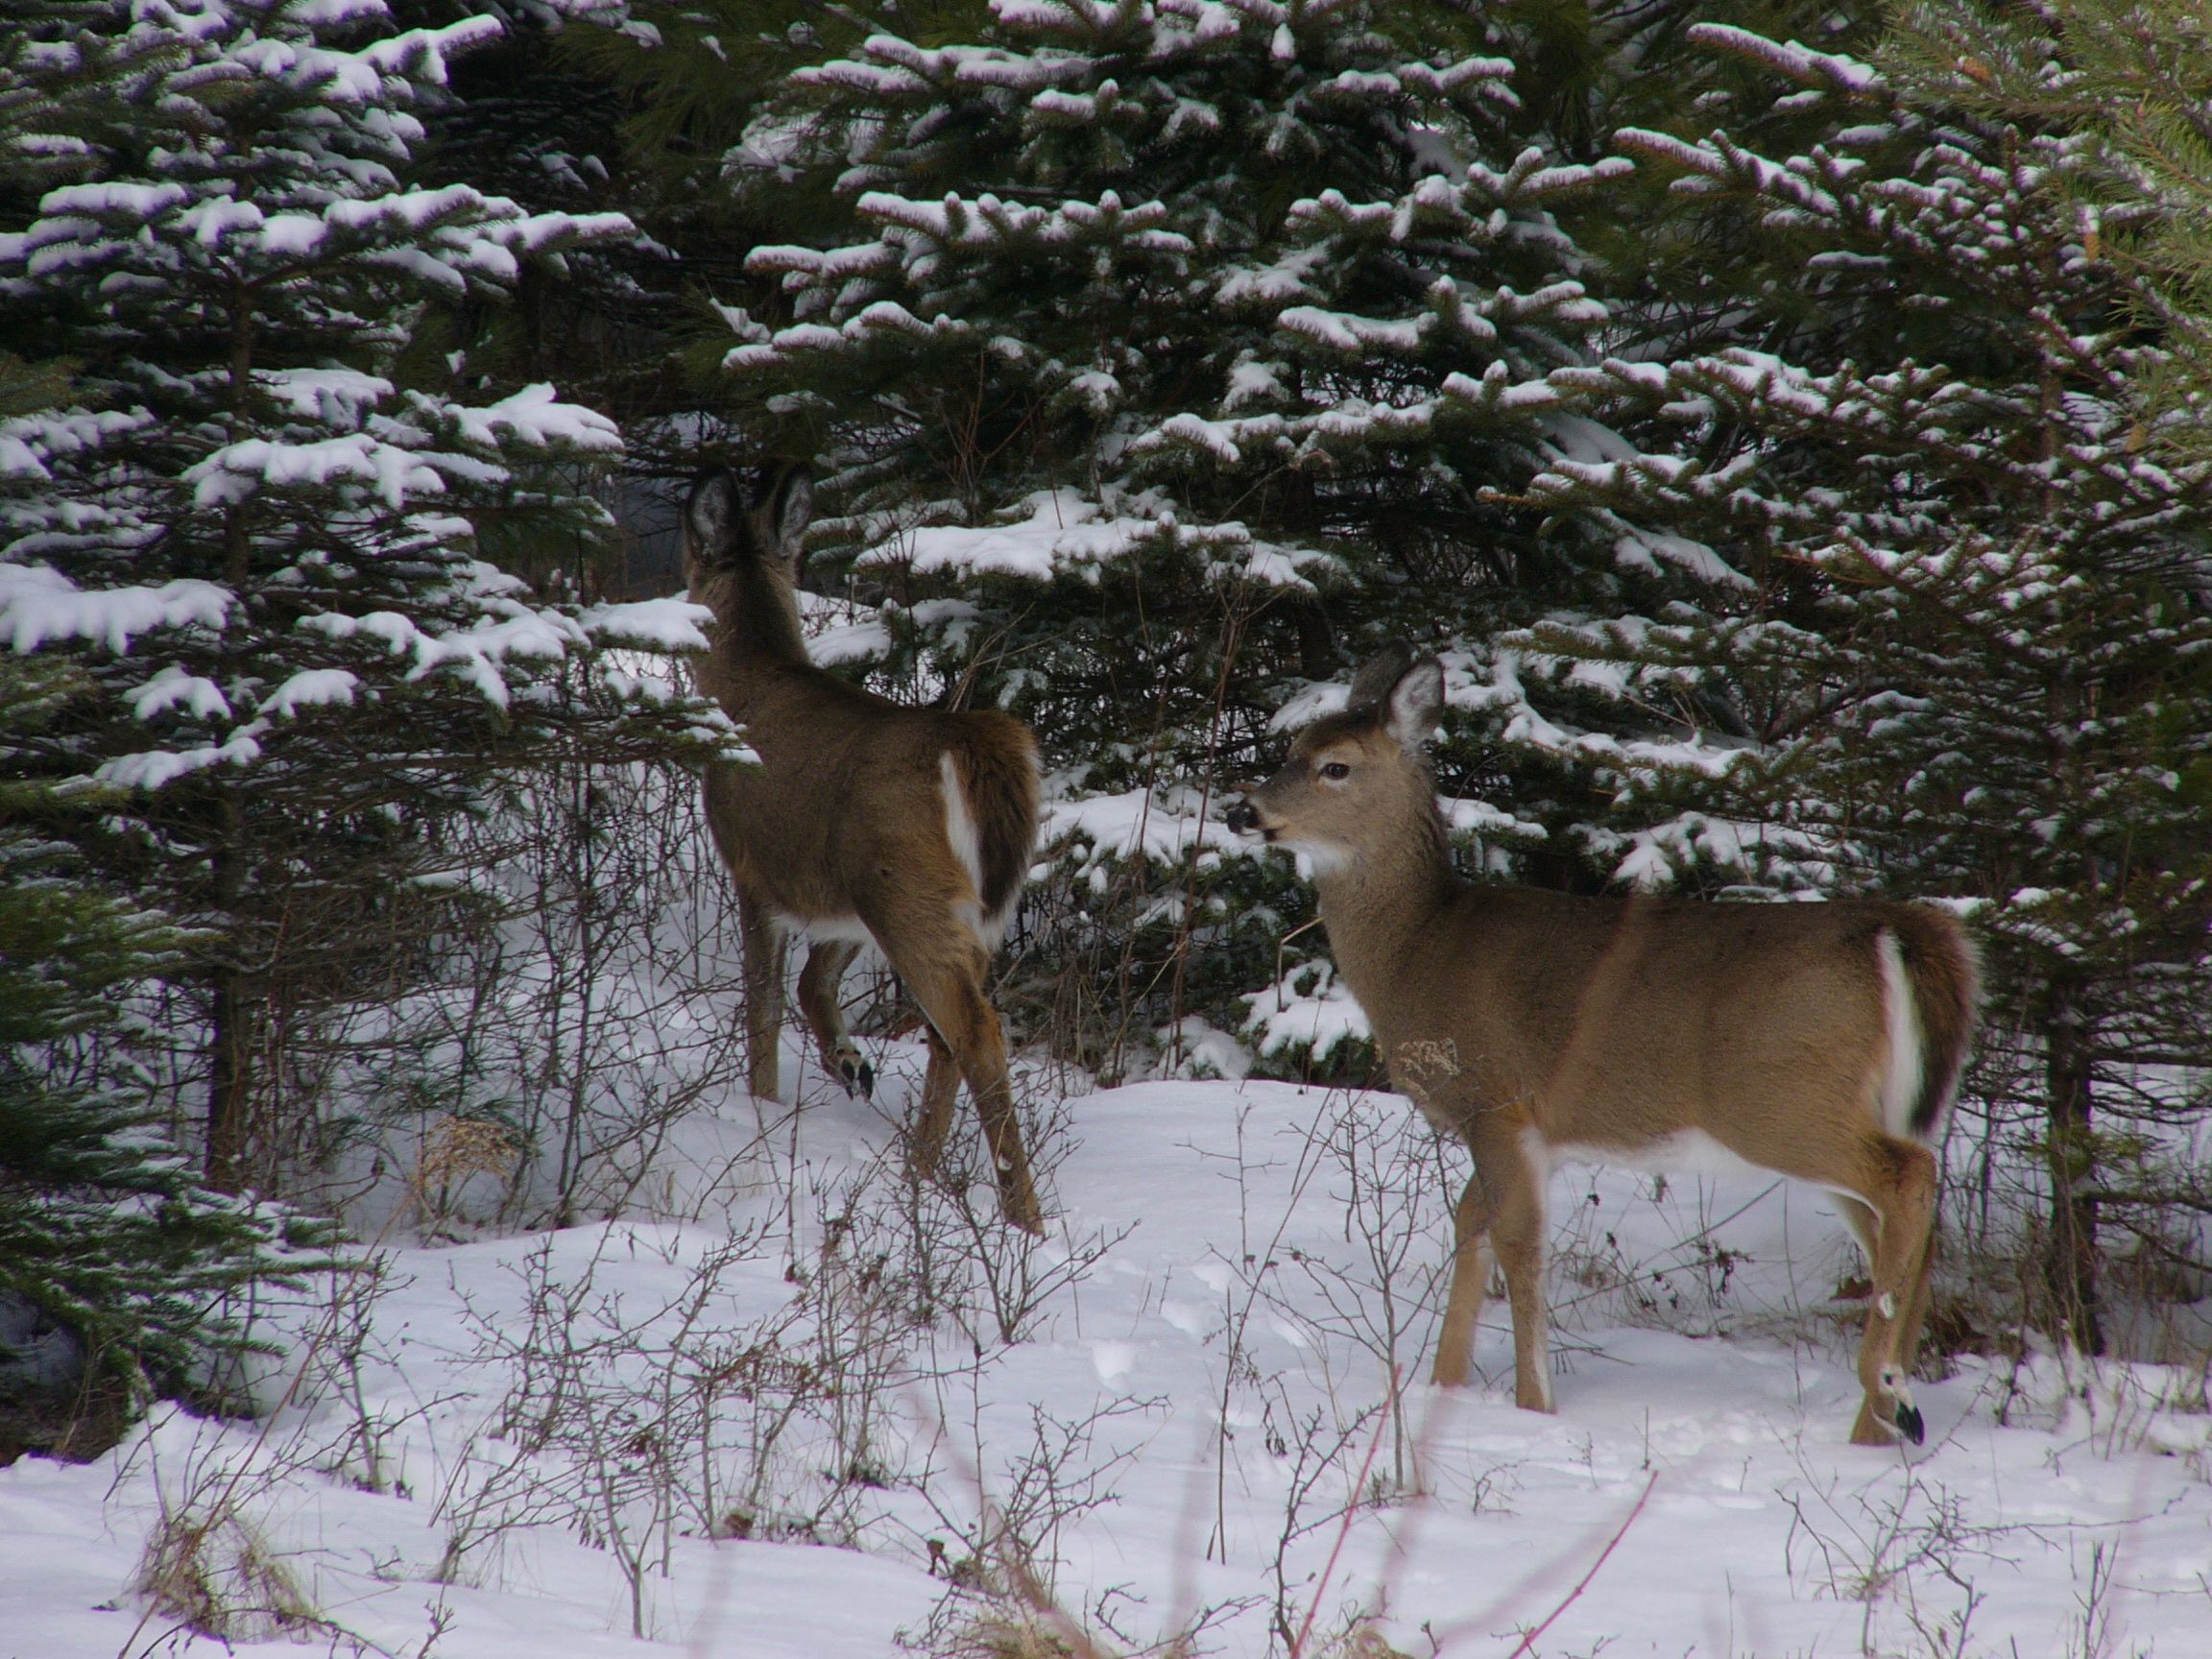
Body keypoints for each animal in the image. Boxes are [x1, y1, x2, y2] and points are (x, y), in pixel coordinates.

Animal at [682, 467, 1045, 1232]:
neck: (745, 687)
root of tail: (972, 739)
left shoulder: (754, 870)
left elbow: (763, 1004)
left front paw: (762, 1106)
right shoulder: (836, 895)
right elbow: (811, 982)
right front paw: (849, 1062)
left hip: (904, 887)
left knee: (975, 1030)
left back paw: (1019, 1213)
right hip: (940, 902)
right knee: (946, 1033)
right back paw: (918, 1175)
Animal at [1226, 646, 1980, 1445]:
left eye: (1334, 765)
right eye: (1290, 748)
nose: (1244, 810)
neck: (1421, 951)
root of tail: (1898, 932)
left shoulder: (1497, 1100)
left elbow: (1519, 1245)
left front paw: (1534, 1404)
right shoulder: (1530, 1132)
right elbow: (1470, 1224)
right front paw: (1447, 1384)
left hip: (1776, 1101)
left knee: (1909, 1180)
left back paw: (1890, 1388)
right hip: (1856, 1108)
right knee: (1909, 1229)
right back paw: (1879, 1427)